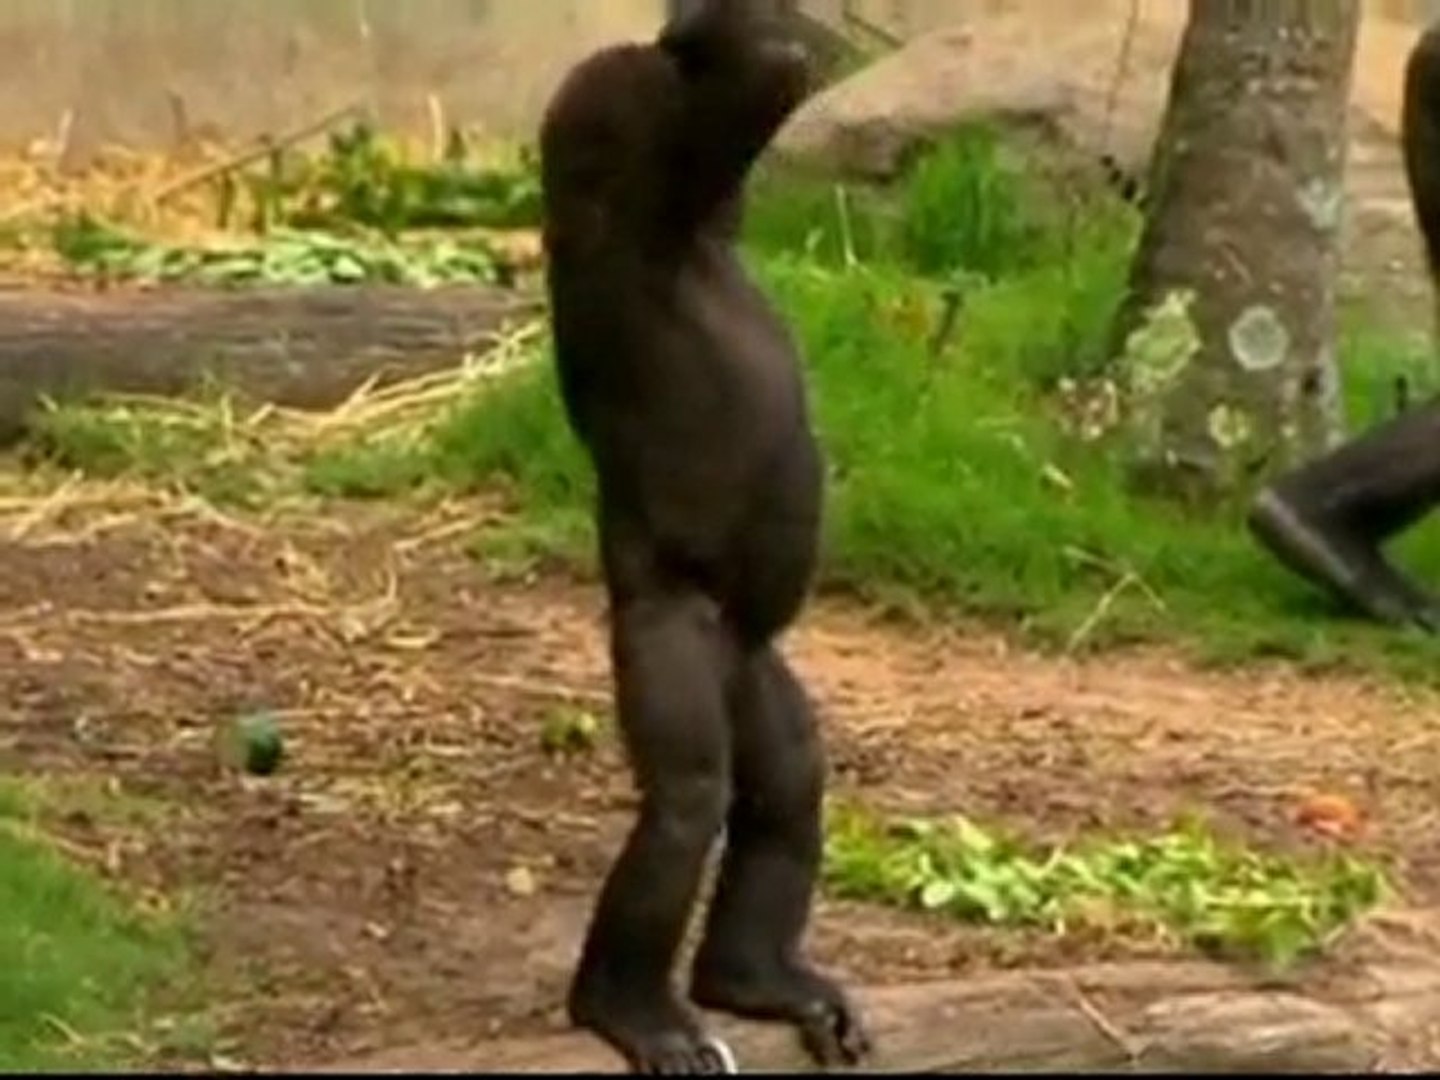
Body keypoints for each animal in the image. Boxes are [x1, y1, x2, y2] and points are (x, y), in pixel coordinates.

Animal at [536, 0, 872, 1072]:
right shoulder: (617, 119)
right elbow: (696, 90)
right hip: (669, 640)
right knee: (687, 800)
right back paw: (630, 1007)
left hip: (752, 666)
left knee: (787, 785)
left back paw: (752, 977)